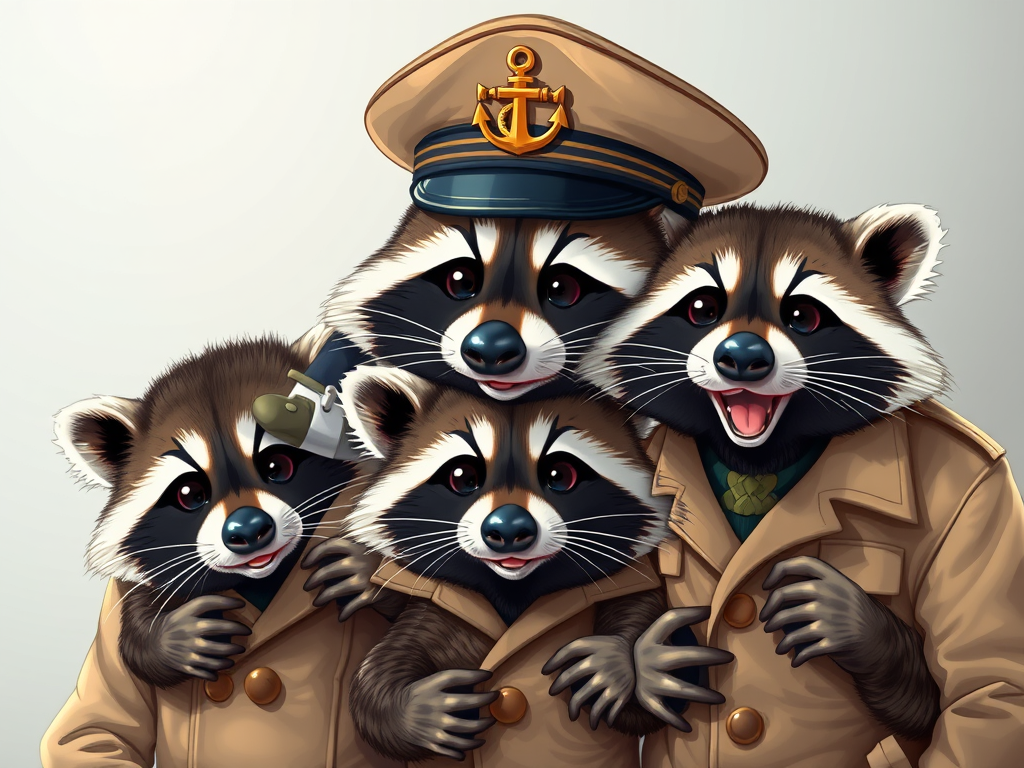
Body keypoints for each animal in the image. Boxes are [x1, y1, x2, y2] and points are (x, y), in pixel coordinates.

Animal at [335, 365, 694, 763]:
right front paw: (420, 711)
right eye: (462, 477)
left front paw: (625, 662)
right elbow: (377, 677)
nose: (508, 530)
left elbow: (642, 703)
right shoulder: (438, 610)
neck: (514, 585)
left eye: (560, 474)